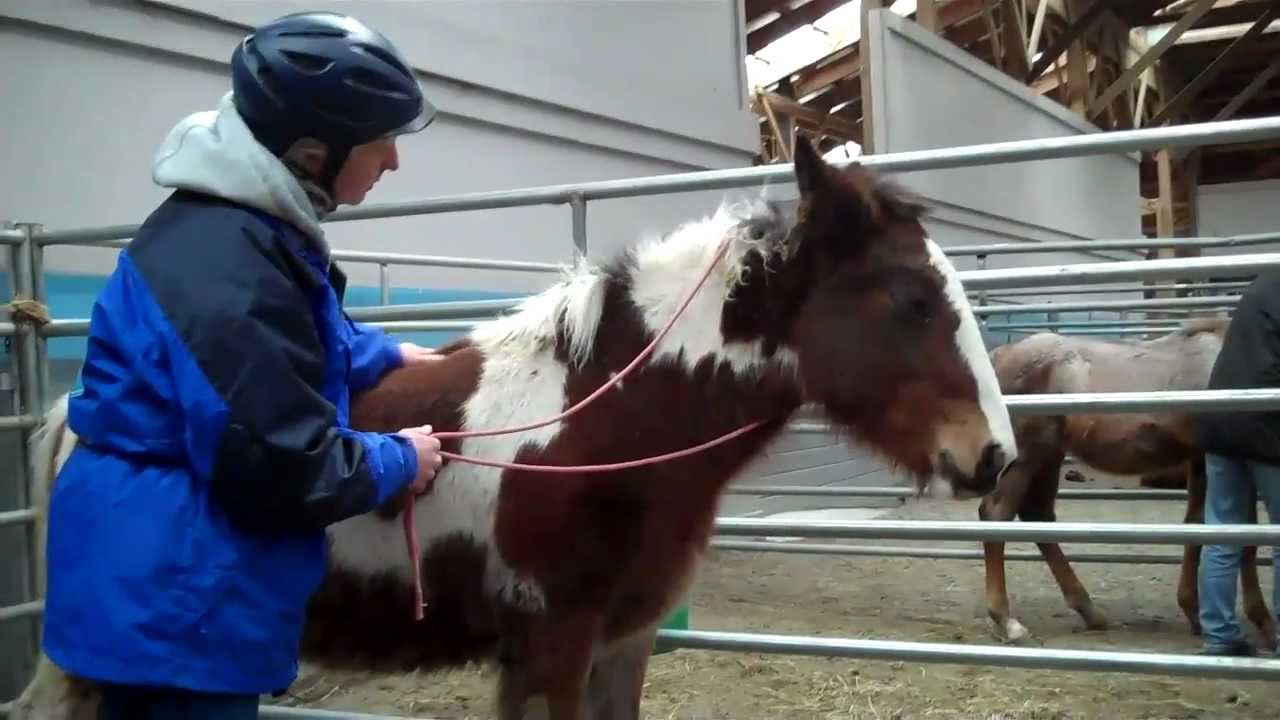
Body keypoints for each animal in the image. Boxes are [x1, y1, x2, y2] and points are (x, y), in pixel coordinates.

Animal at [12, 136, 1017, 720]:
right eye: (912, 298)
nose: (995, 457)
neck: (599, 425)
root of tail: (74, 414)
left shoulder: (619, 643)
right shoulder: (553, 646)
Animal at [972, 318, 1275, 650]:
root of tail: (999, 355)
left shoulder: (1202, 463)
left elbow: (1199, 528)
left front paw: (1194, 612)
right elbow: (1244, 537)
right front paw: (1264, 623)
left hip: (1050, 455)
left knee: (1038, 516)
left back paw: (1089, 611)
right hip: (1028, 456)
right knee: (997, 513)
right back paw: (1007, 621)